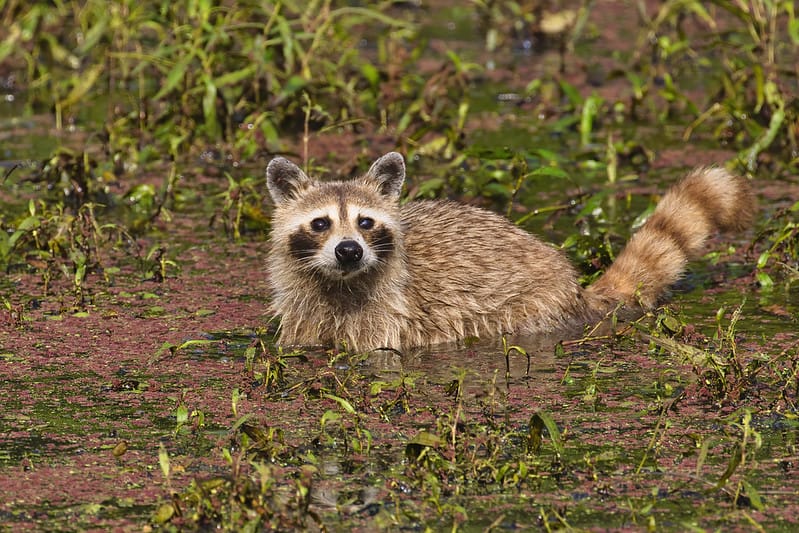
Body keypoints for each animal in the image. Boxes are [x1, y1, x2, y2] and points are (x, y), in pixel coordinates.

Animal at [265, 152, 755, 352]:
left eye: (366, 222)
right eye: (321, 223)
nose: (349, 251)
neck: (339, 284)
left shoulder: (388, 313)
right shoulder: (305, 310)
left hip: (533, 308)